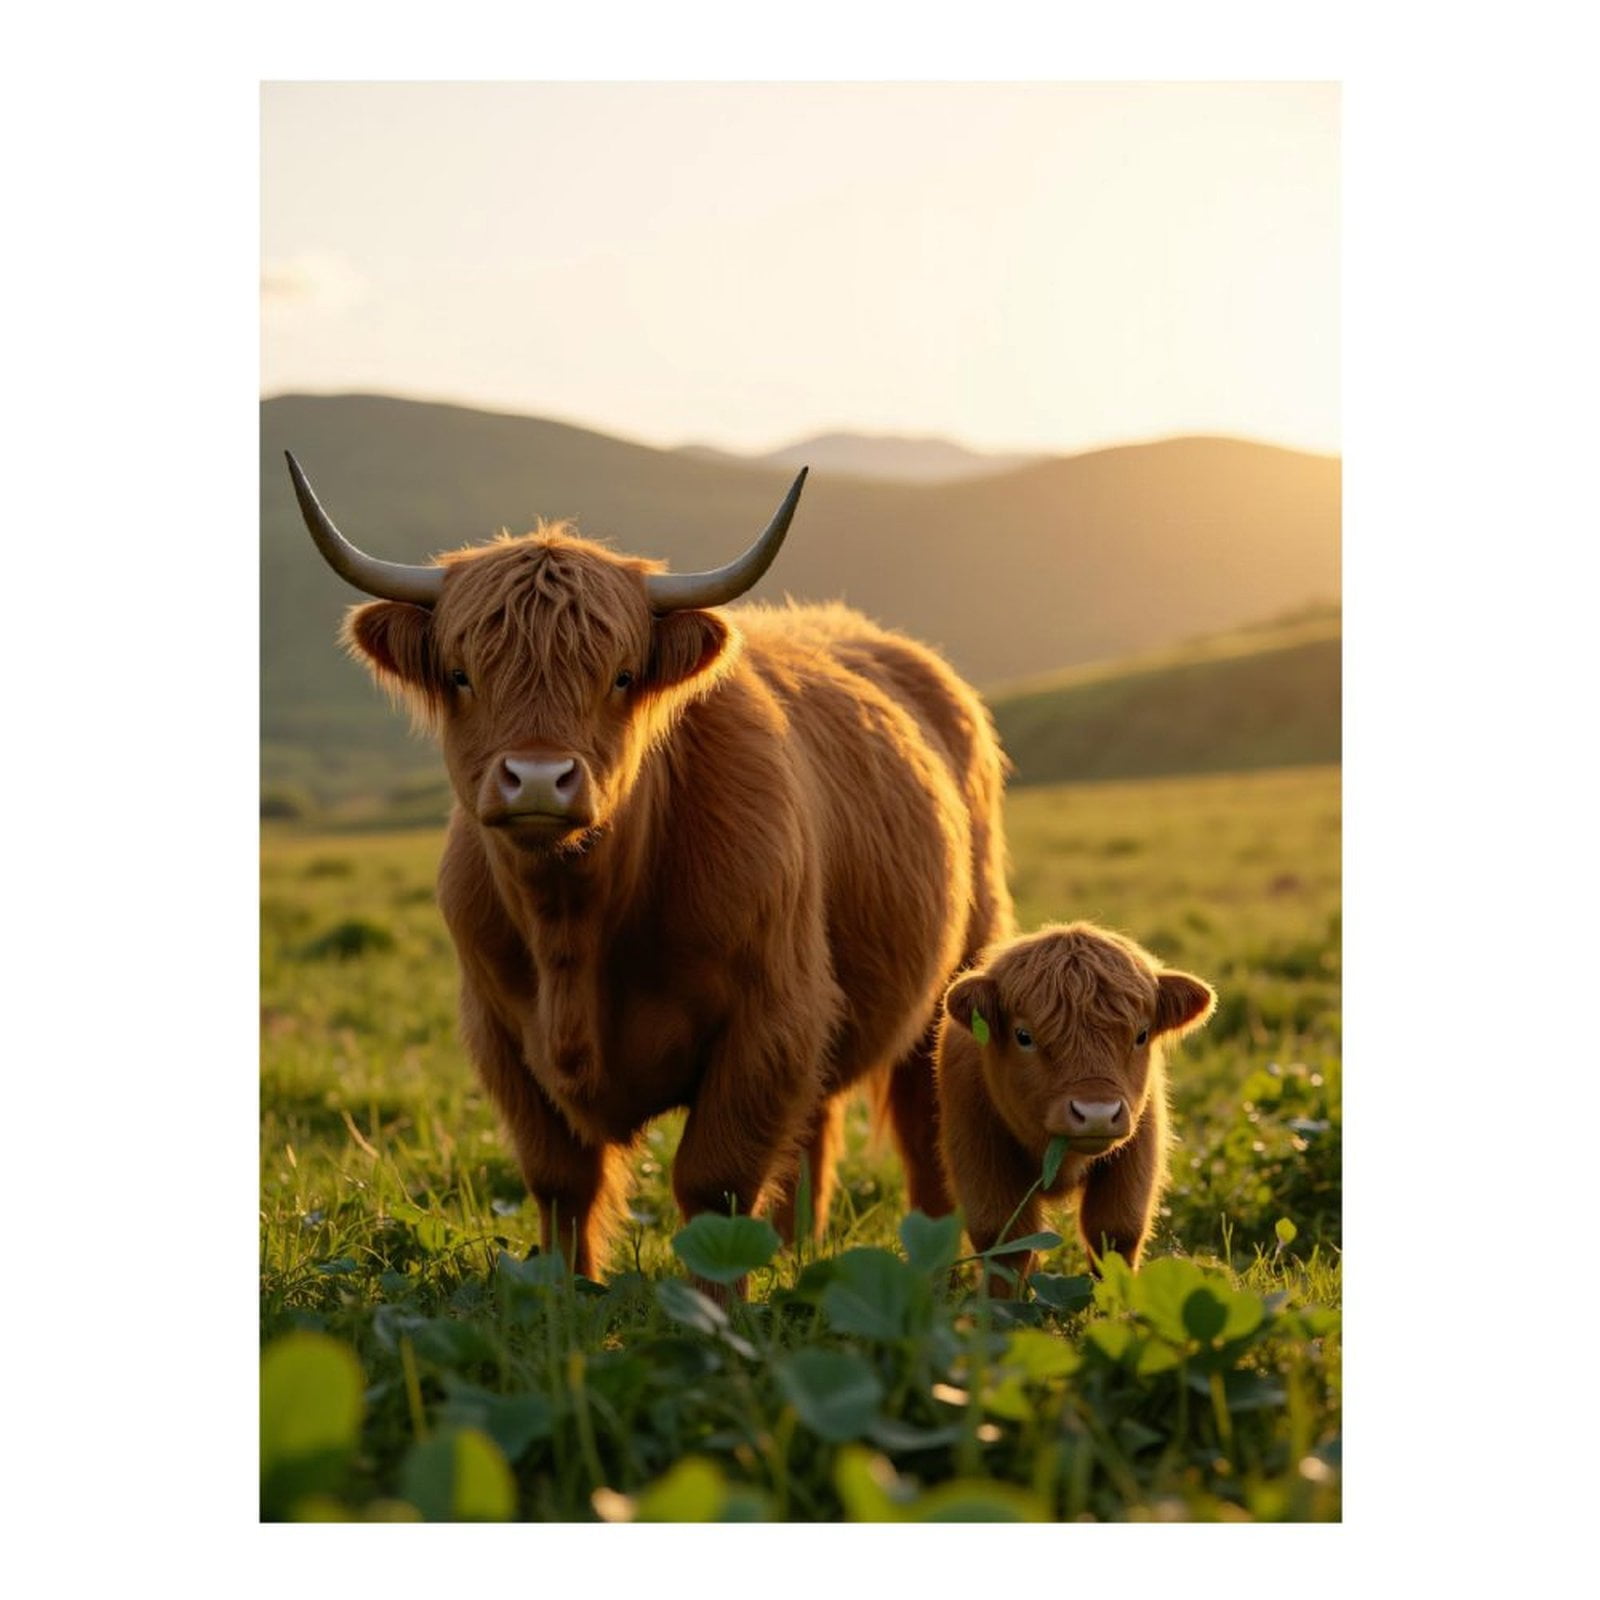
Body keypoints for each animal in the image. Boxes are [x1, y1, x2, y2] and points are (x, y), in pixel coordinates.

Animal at [286, 454, 1013, 1288]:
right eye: (462, 675)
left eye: (622, 676)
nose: (539, 780)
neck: (573, 925)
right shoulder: (500, 1031)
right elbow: (560, 1181)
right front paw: (564, 1297)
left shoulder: (769, 1018)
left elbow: (713, 1180)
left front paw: (714, 1303)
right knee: (816, 1127)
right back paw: (794, 1249)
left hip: (956, 976)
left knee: (926, 1132)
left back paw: (933, 1268)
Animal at [937, 921, 1216, 1291]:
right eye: (1023, 1036)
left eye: (1141, 1035)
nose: (1097, 1114)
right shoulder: (980, 1160)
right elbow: (1006, 1245)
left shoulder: (1136, 1156)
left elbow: (1114, 1234)